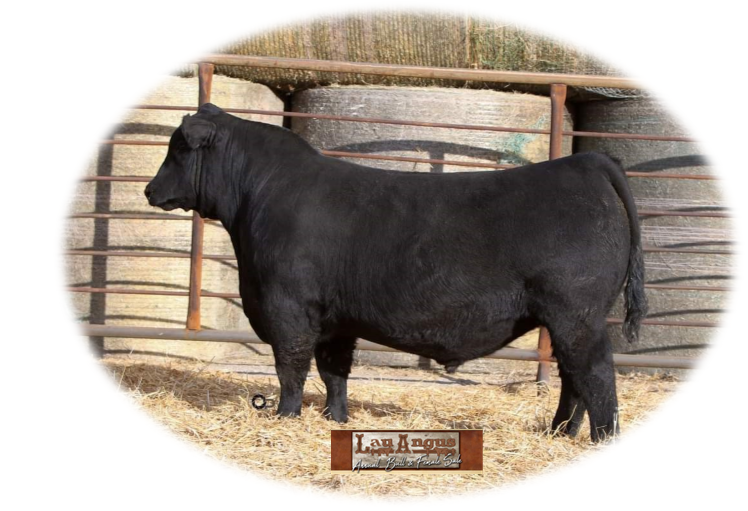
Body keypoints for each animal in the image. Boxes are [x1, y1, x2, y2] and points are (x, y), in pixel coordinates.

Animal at [145, 103, 647, 442]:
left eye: (178, 148)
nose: (149, 190)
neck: (258, 196)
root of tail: (587, 162)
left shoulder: (286, 307)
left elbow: (291, 368)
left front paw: (285, 419)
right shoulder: (335, 319)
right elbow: (334, 372)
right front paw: (335, 420)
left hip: (576, 312)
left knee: (595, 374)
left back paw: (598, 438)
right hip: (567, 319)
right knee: (573, 376)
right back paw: (558, 432)